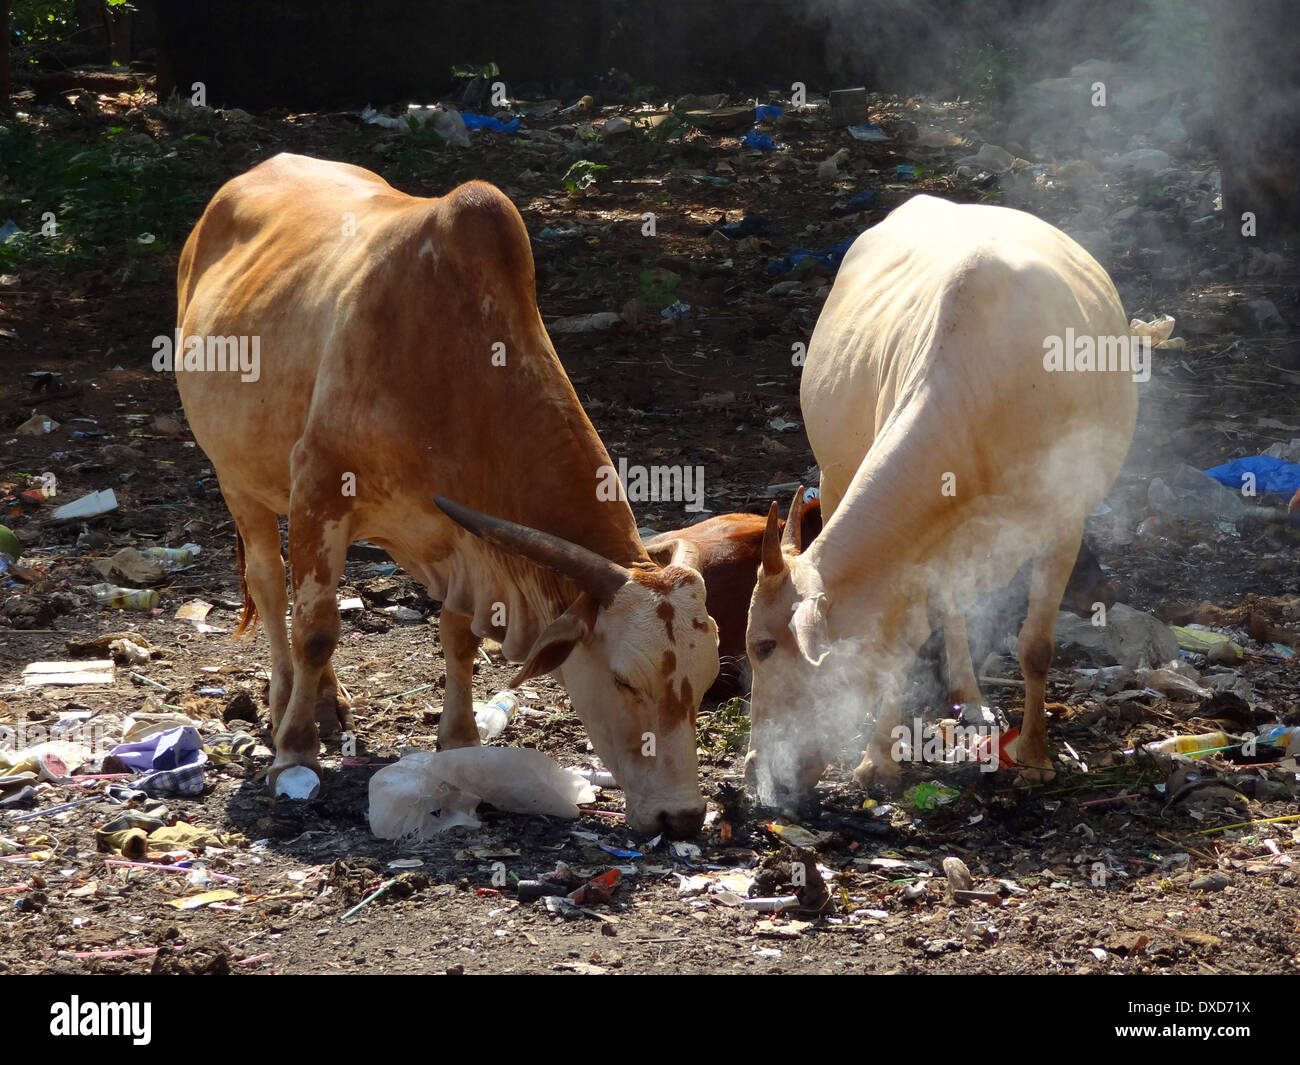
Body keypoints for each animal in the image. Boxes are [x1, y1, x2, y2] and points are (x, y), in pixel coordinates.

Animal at [173, 153, 719, 837]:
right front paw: (294, 753)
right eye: (624, 682)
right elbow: (317, 628)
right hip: (236, 477)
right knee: (274, 591)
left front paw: (460, 742)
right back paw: (284, 704)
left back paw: (326, 702)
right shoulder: (320, 488)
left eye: (707, 680)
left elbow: (460, 638)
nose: (683, 816)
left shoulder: (465, 540)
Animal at [744, 194, 1147, 808]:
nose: (754, 772)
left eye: (764, 646)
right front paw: (877, 762)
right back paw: (964, 693)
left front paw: (1035, 758)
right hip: (843, 482)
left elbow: (1035, 646)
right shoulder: (913, 547)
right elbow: (899, 645)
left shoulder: (1064, 520)